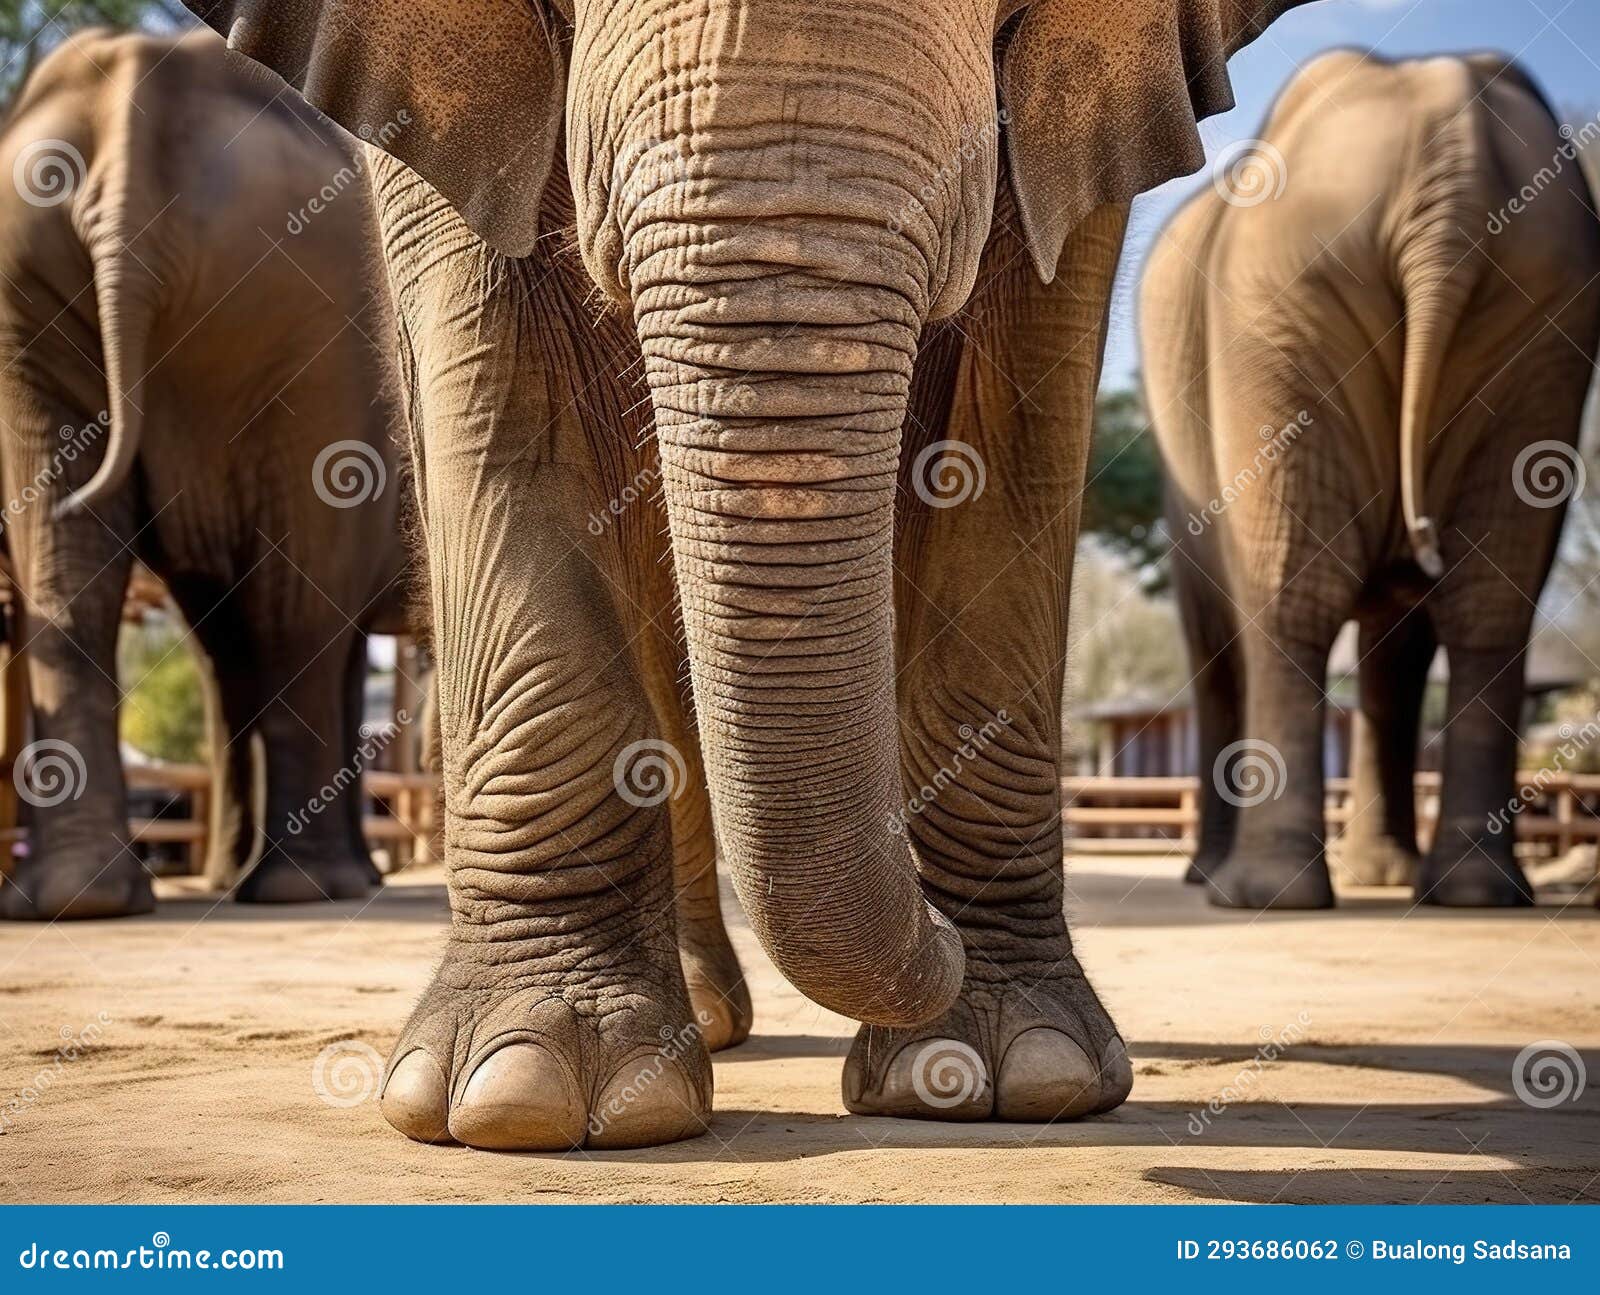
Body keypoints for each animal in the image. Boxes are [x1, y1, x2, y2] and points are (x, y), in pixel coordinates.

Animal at [184, 0, 1314, 1148]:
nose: (938, 938)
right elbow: (503, 380)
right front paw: (520, 1092)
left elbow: (1009, 412)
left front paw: (1012, 1072)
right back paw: (691, 1032)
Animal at [1142, 51, 1600, 911]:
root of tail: (1453, 180)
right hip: (1512, 311)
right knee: (1485, 596)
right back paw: (1465, 892)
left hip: (1288, 308)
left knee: (1294, 600)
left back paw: (1257, 894)